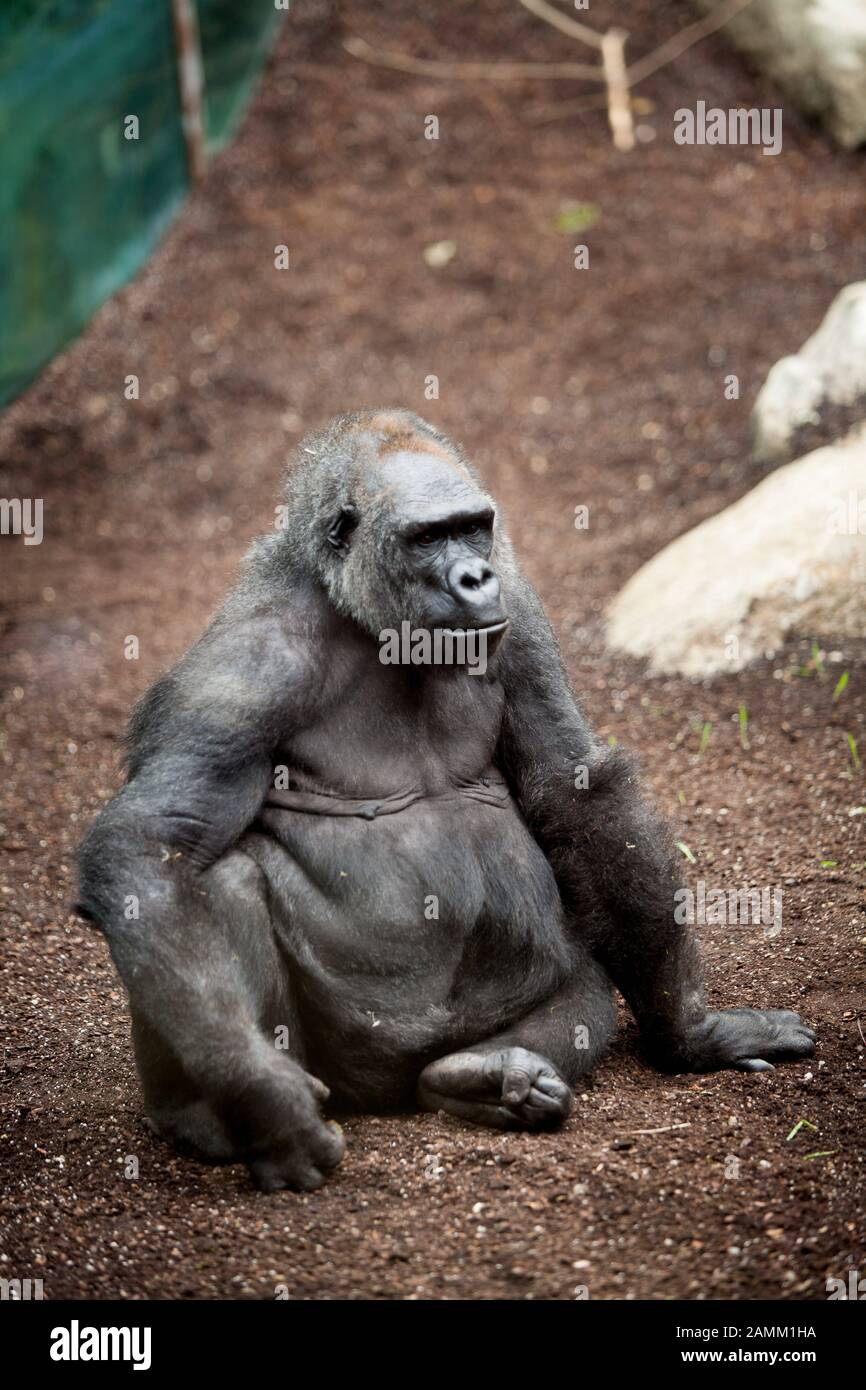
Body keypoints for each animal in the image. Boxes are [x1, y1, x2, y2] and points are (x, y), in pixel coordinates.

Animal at [76, 410, 815, 1191]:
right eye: (428, 537)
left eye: (473, 528)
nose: (475, 576)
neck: (362, 614)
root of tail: (395, 1094)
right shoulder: (246, 662)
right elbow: (153, 843)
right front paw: (263, 1094)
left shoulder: (518, 612)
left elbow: (574, 795)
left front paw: (691, 1034)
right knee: (218, 879)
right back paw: (208, 1116)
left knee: (576, 997)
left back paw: (485, 1077)